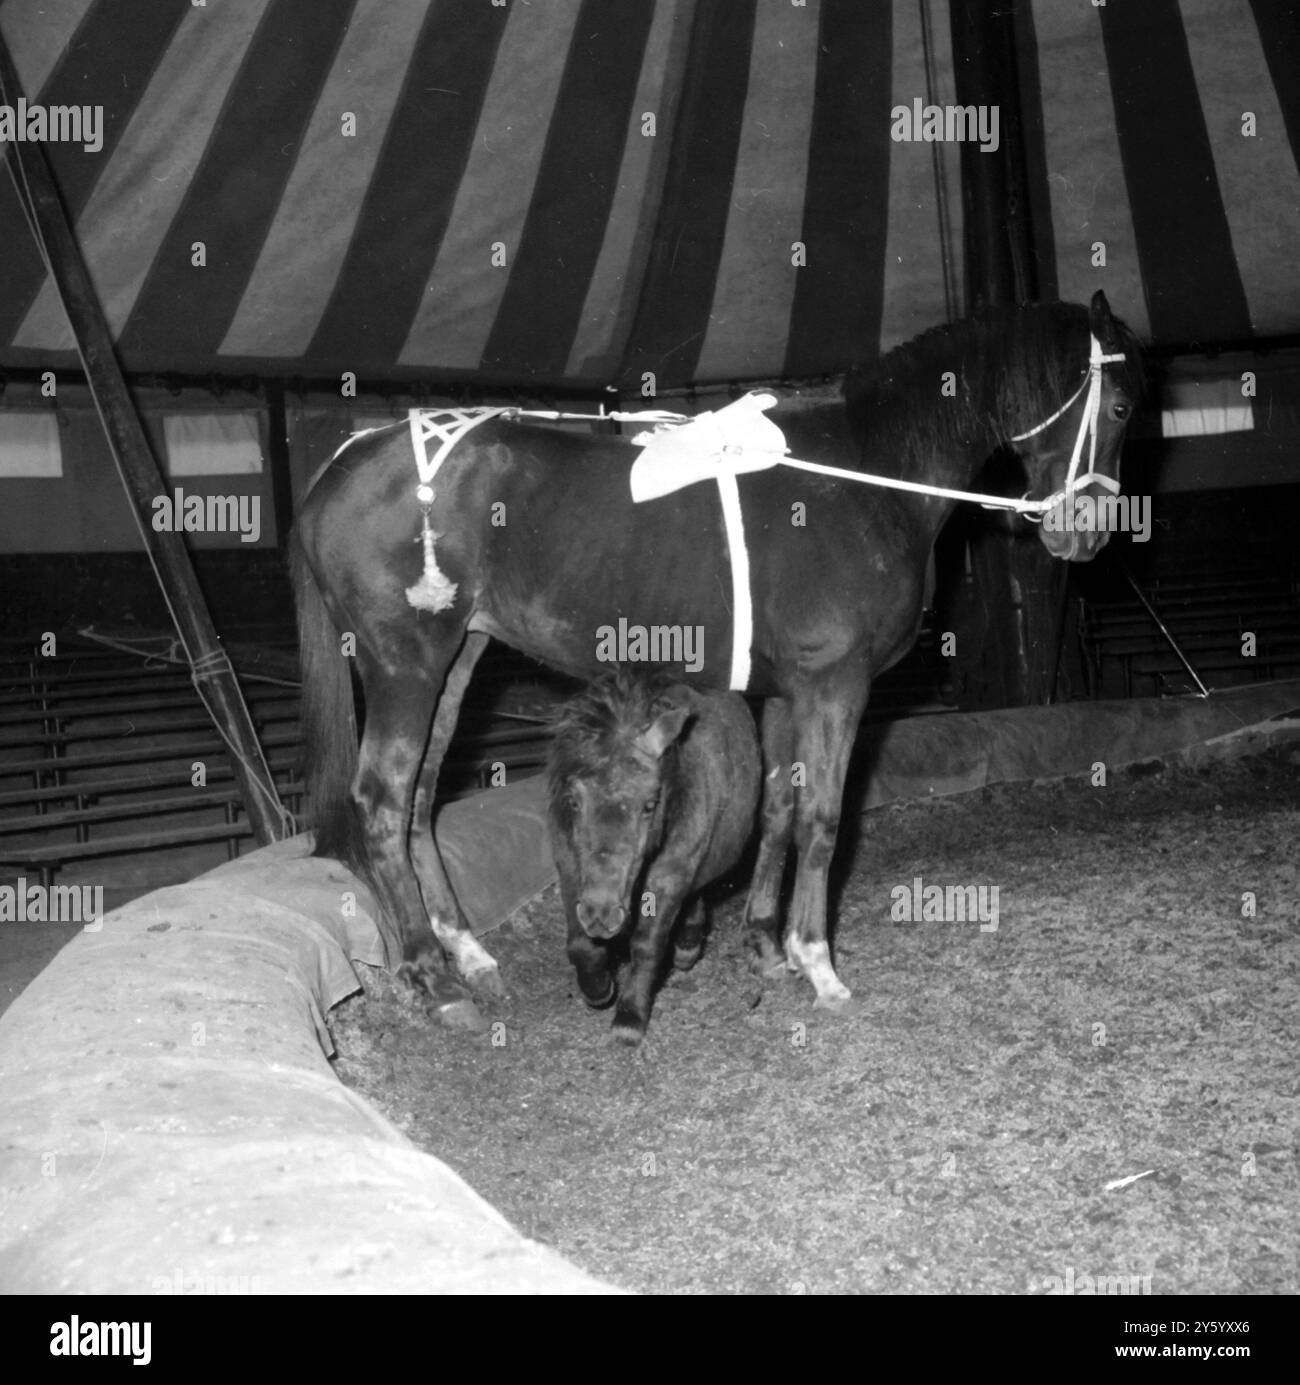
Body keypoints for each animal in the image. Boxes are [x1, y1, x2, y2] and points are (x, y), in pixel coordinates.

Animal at [548, 672, 761, 1044]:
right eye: (573, 801)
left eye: (650, 804)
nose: (602, 915)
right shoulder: (571, 868)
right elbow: (579, 945)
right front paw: (598, 988)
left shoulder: (670, 875)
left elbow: (647, 945)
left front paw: (630, 1016)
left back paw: (688, 944)